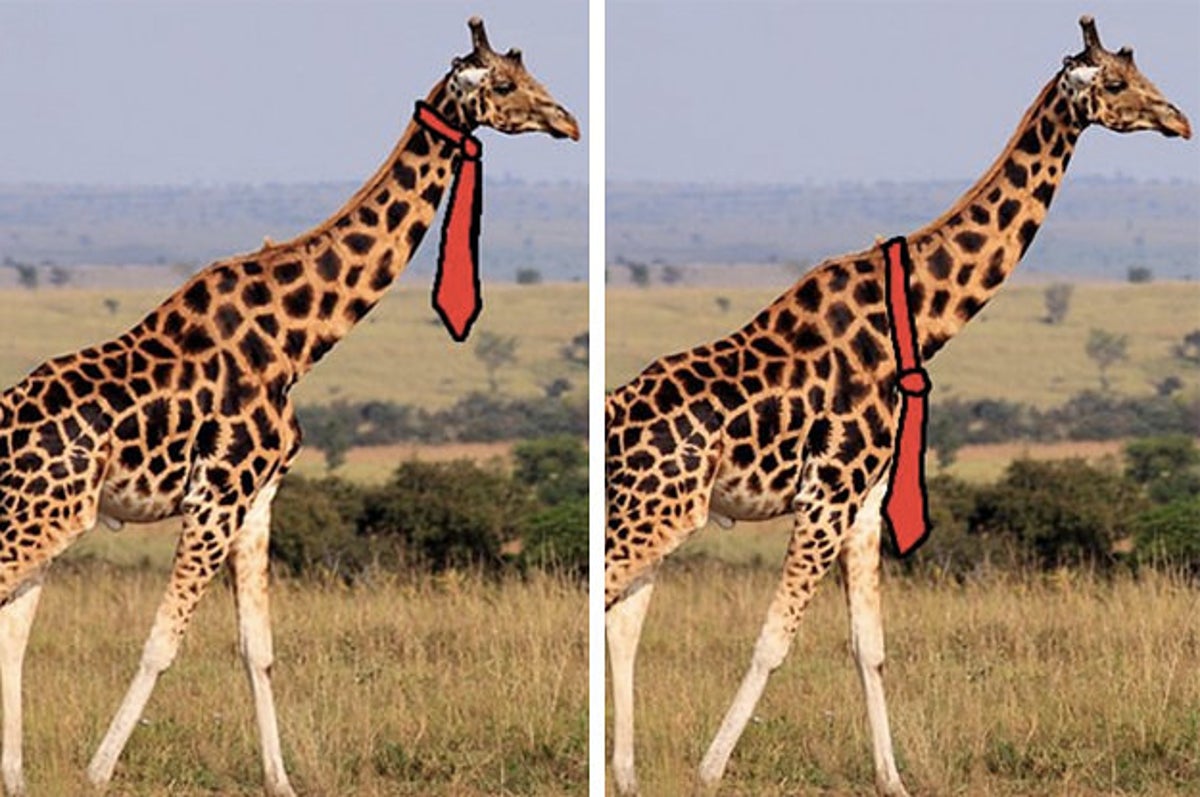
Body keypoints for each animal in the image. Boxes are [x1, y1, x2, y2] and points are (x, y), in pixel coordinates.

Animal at [0, 18, 577, 797]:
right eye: (510, 84)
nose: (568, 121)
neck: (299, 339)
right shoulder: (216, 492)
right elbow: (163, 639)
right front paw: (97, 768)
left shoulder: (257, 495)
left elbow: (257, 647)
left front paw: (279, 778)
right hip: (41, 517)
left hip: (51, 522)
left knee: (11, 631)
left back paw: (15, 774)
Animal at [605, 16, 1189, 796]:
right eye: (1120, 83)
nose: (1179, 120)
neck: (915, 315)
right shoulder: (826, 491)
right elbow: (774, 638)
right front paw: (709, 767)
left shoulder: (865, 498)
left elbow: (868, 646)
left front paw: (892, 778)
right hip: (656, 512)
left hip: (657, 516)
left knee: (621, 621)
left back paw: (623, 773)